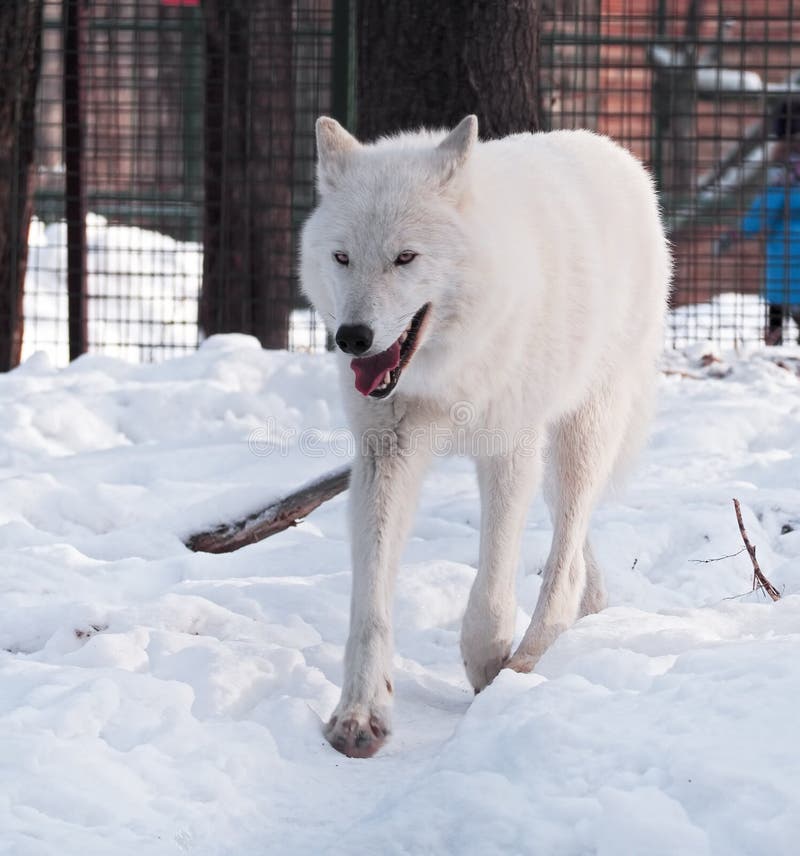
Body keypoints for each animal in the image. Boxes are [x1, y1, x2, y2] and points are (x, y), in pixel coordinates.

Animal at [300, 115, 671, 758]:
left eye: (405, 257)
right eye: (342, 257)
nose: (353, 337)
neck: (448, 369)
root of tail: (610, 148)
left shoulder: (509, 447)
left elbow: (492, 584)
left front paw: (486, 660)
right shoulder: (384, 455)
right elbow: (370, 599)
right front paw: (360, 714)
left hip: (580, 434)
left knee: (565, 559)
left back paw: (525, 663)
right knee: (579, 550)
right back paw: (589, 613)